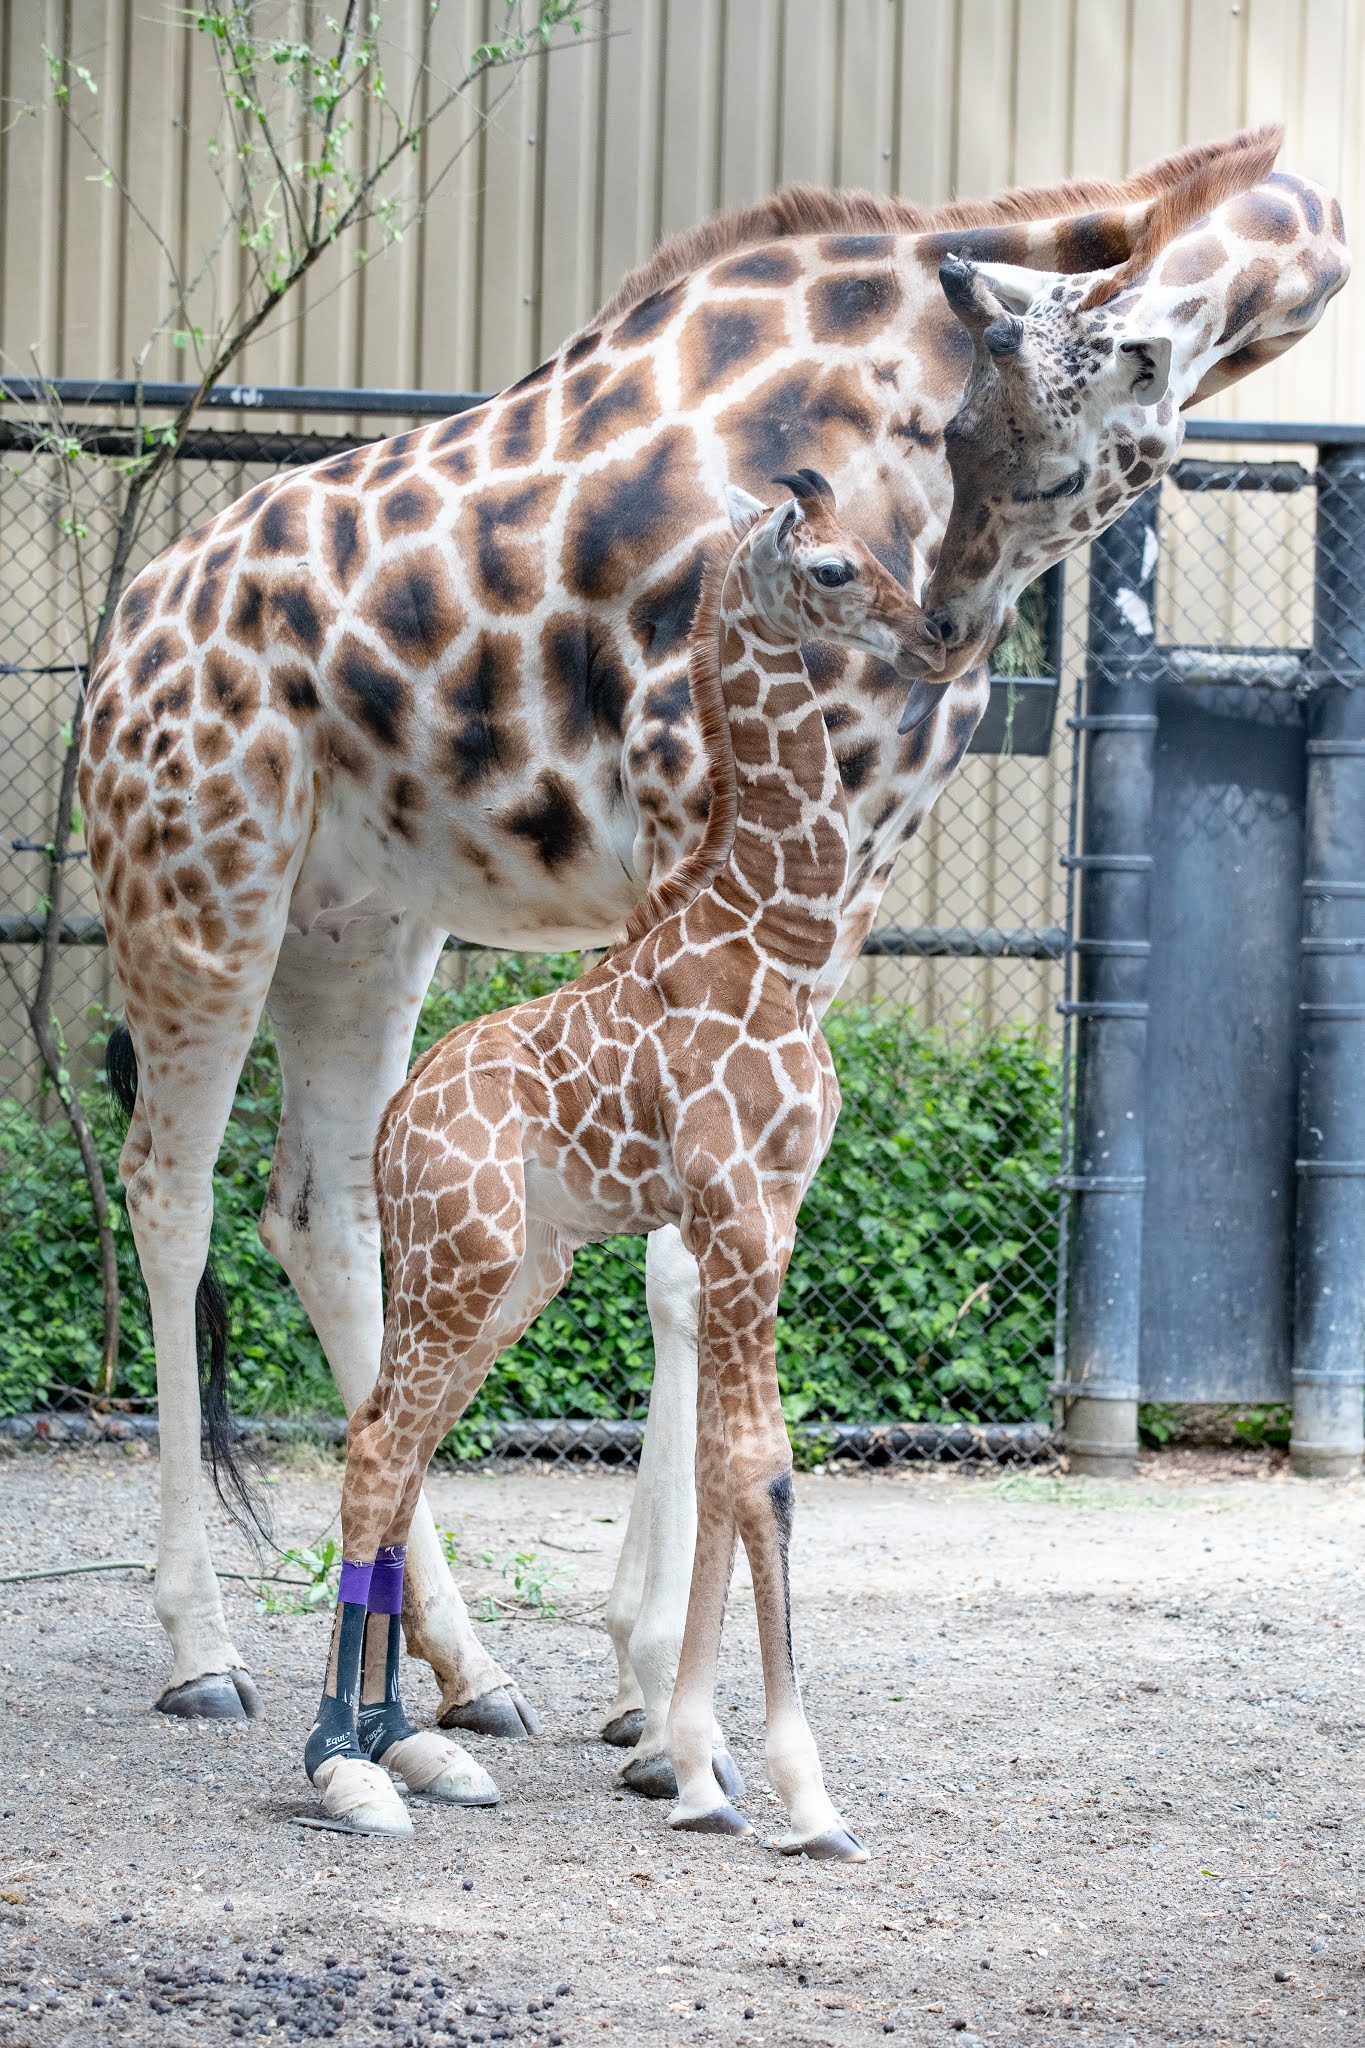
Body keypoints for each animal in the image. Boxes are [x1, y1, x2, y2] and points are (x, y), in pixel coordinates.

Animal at [305, 472, 923, 1850]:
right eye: (837, 568)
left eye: (888, 550)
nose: (930, 635)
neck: (780, 931)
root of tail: (393, 1123)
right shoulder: (738, 1208)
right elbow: (761, 1472)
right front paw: (802, 1793)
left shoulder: (767, 1213)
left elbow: (720, 1478)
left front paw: (696, 1770)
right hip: (466, 1260)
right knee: (378, 1449)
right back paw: (341, 1765)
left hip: (507, 1271)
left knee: (393, 1442)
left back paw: (402, 1741)